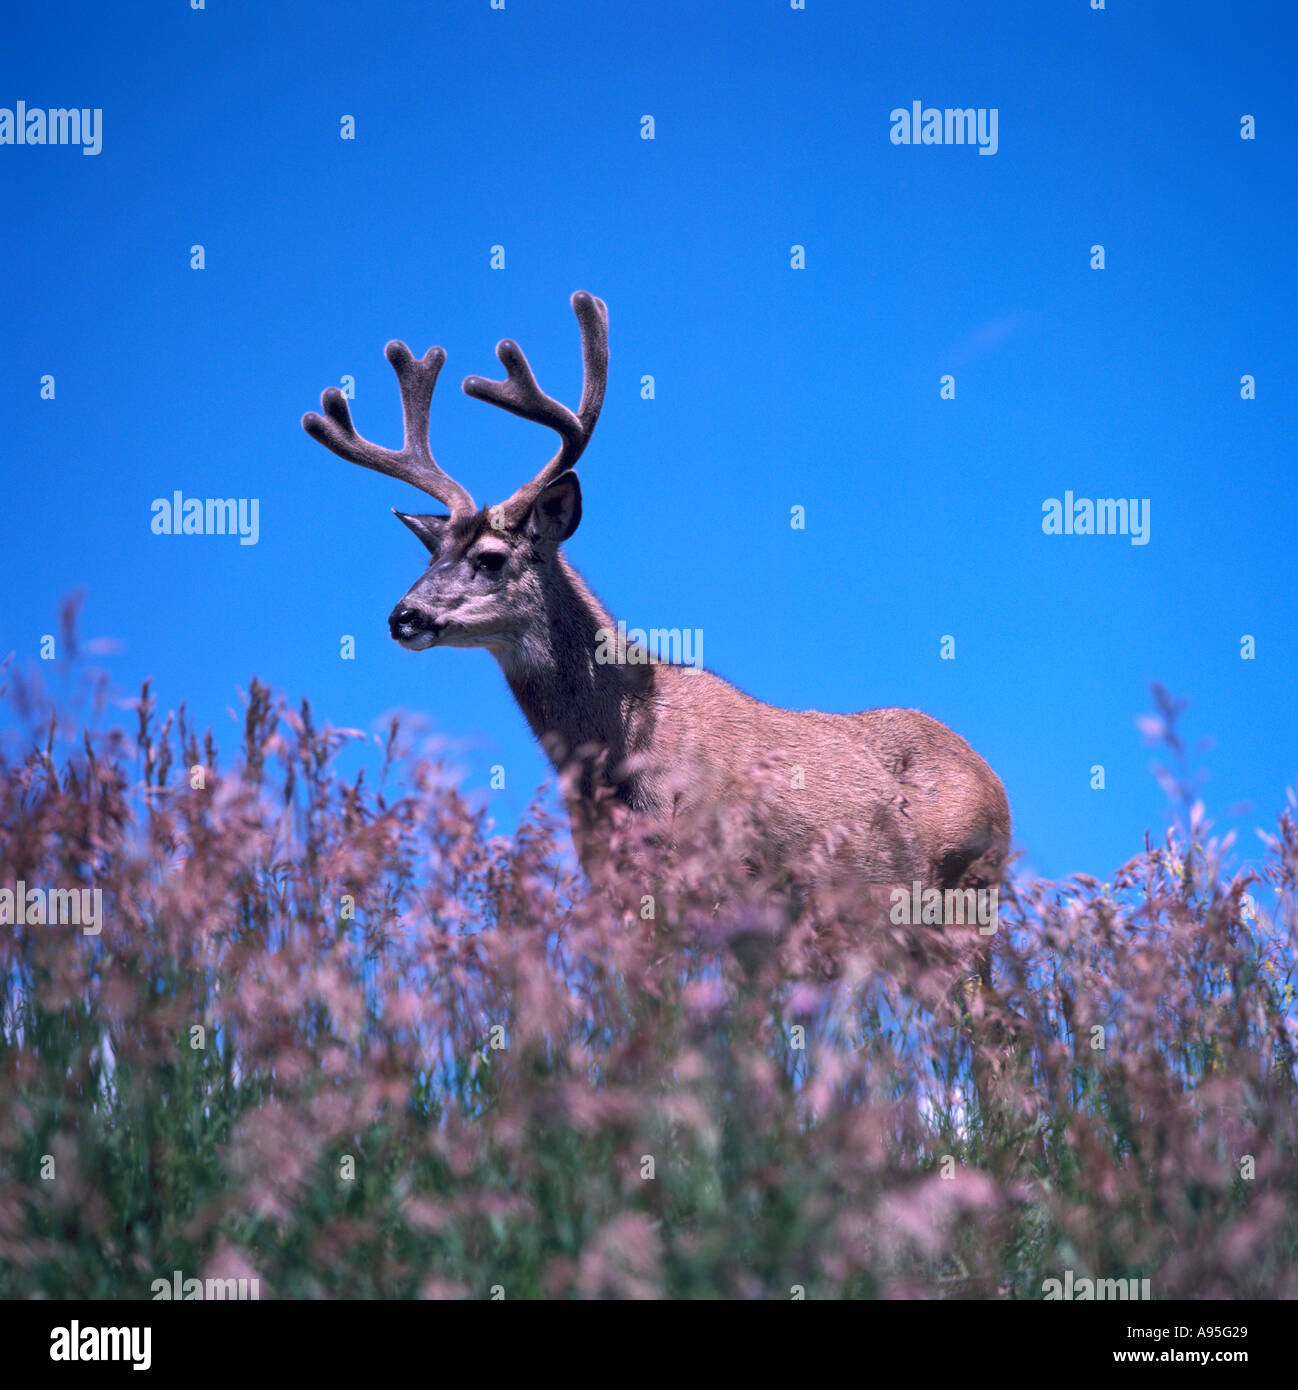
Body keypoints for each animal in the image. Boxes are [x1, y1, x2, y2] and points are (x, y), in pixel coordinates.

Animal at [303, 291, 1013, 1074]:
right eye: (432, 557)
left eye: (491, 557)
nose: (403, 615)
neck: (623, 746)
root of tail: (994, 779)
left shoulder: (718, 892)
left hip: (966, 900)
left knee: (996, 1033)